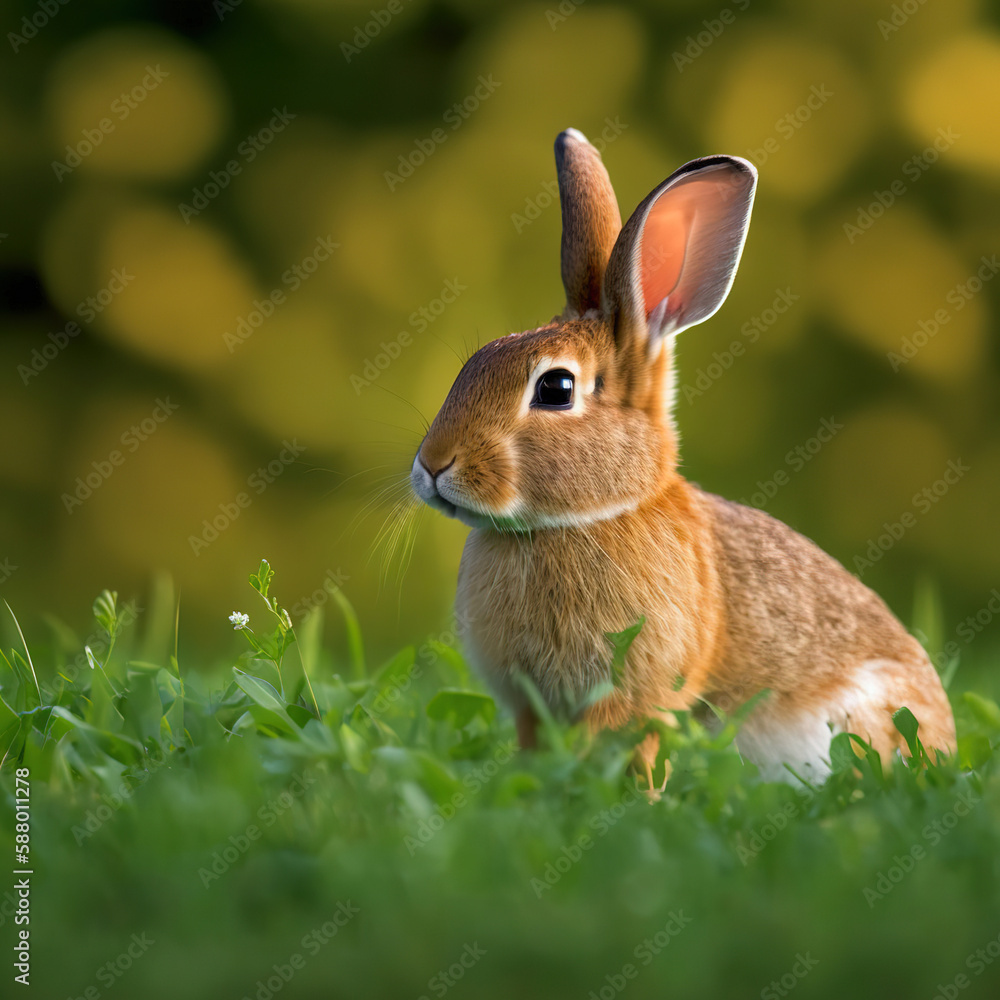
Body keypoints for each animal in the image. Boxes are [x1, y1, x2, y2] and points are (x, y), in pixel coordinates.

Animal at [410, 127, 956, 783]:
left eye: (557, 388)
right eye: (473, 363)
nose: (432, 466)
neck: (576, 521)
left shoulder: (641, 693)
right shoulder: (531, 707)